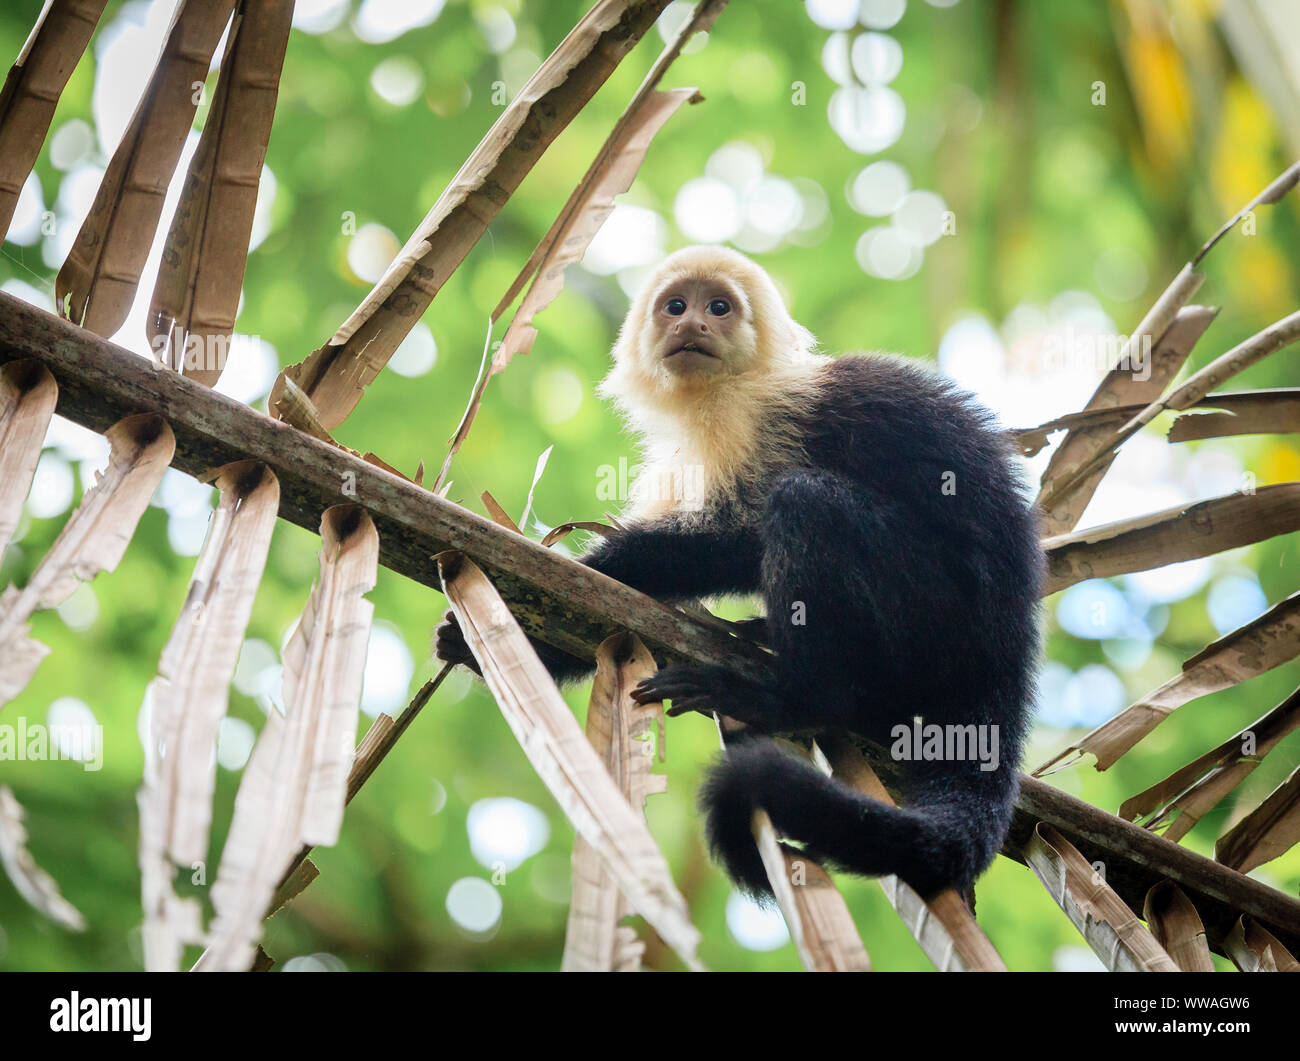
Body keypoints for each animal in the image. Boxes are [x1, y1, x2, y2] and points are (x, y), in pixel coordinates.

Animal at [436, 244, 1043, 901]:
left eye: (720, 308)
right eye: (677, 306)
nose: (695, 326)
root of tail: (1011, 650)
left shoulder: (758, 414)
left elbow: (736, 539)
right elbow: (616, 606)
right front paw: (513, 637)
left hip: (939, 617)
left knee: (807, 504)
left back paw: (793, 699)